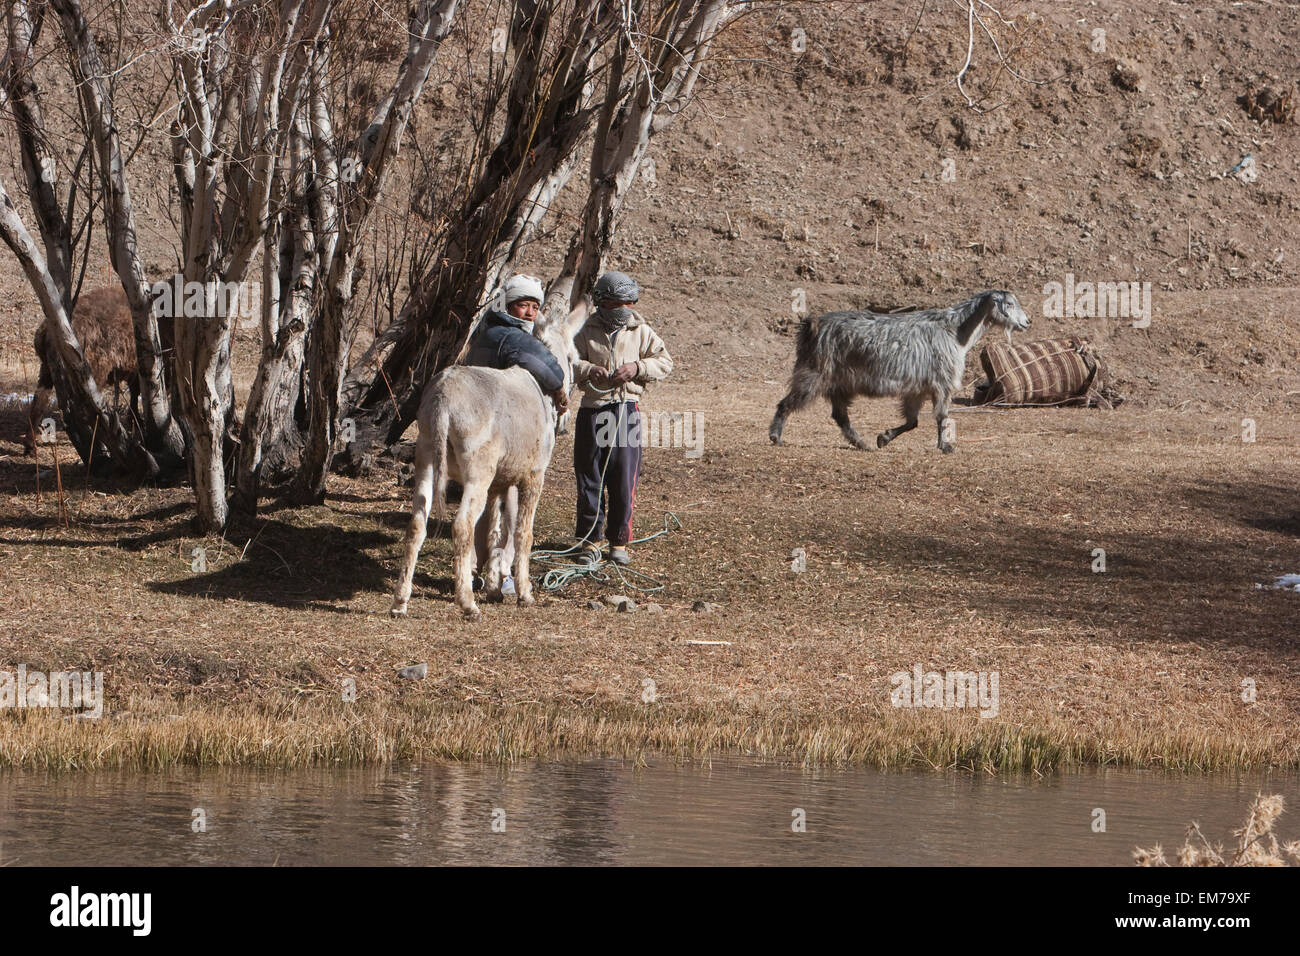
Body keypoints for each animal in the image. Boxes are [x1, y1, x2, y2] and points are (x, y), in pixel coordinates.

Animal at [25, 286, 139, 455]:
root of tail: (46, 332)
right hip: (92, 370)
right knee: (87, 411)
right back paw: (100, 445)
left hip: (47, 368)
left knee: (38, 402)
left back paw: (30, 447)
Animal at [768, 289, 1030, 453]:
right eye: (1009, 304)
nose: (1027, 322)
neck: (955, 331)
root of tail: (812, 326)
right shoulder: (941, 382)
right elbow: (941, 416)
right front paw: (946, 446)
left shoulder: (917, 389)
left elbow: (912, 421)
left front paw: (883, 438)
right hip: (814, 374)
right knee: (787, 402)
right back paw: (775, 436)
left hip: (840, 383)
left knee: (840, 415)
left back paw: (861, 443)